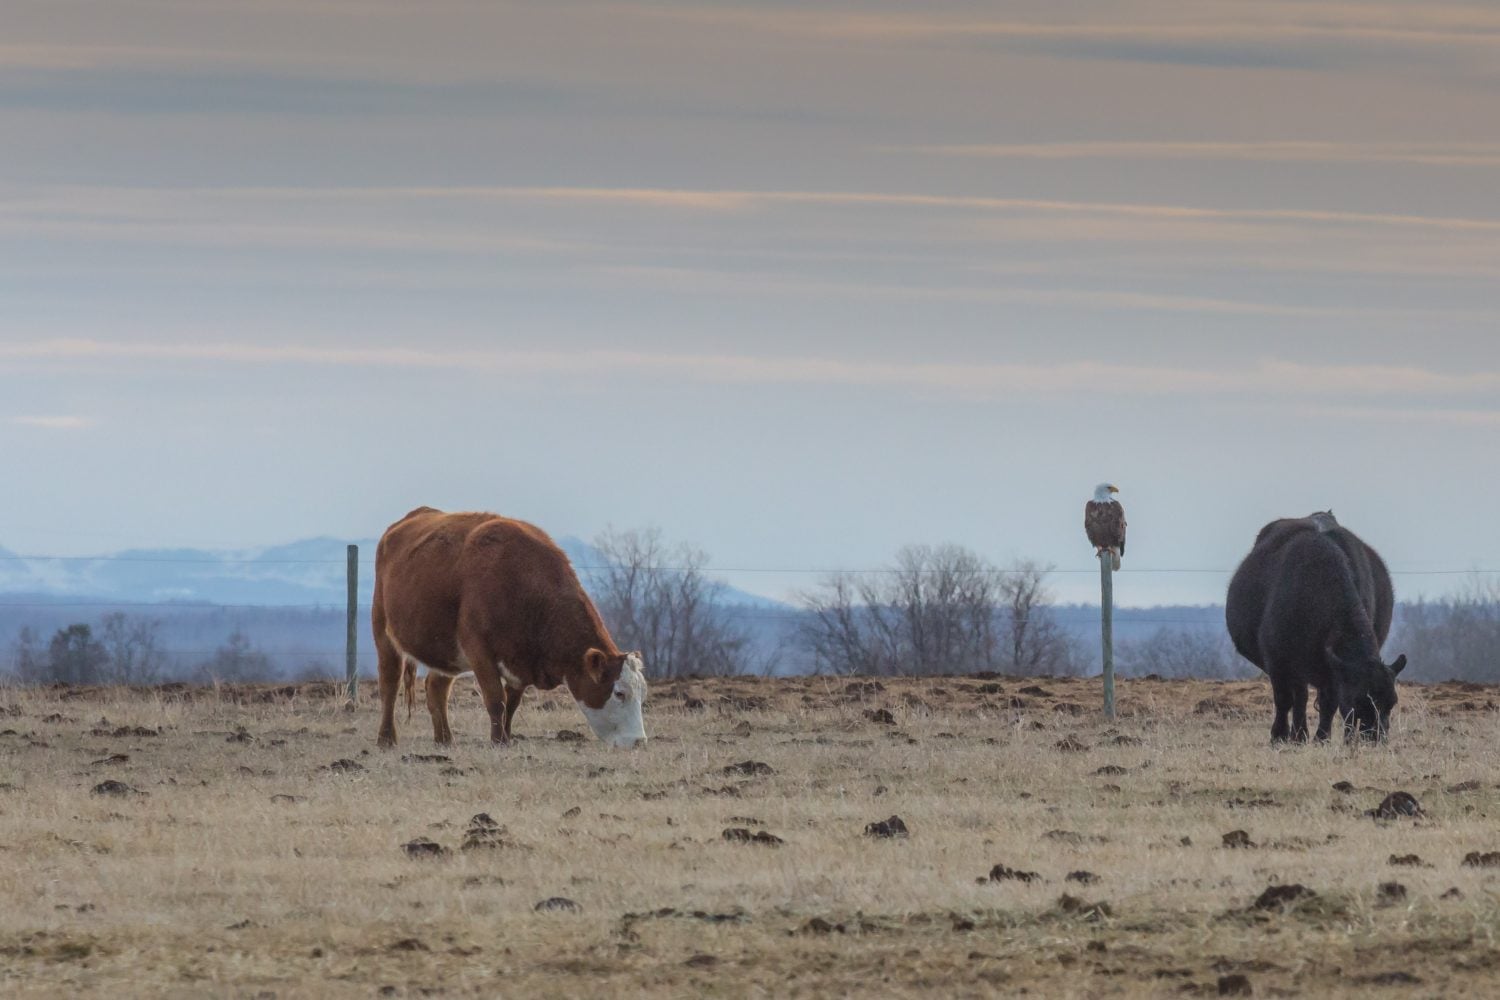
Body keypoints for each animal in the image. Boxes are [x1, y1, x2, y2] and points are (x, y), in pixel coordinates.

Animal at [372, 507, 648, 749]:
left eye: (642, 693)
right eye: (619, 693)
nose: (638, 741)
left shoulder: (522, 662)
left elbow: (511, 704)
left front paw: (506, 737)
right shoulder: (479, 652)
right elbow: (496, 699)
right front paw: (498, 742)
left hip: (445, 650)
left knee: (436, 689)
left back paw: (445, 740)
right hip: (384, 634)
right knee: (389, 685)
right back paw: (386, 739)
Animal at [1226, 512, 1406, 742]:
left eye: (1391, 703)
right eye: (1358, 701)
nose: (1375, 738)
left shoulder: (1332, 673)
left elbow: (1329, 702)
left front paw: (1322, 738)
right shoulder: (1279, 662)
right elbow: (1285, 700)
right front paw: (1281, 736)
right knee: (1298, 697)